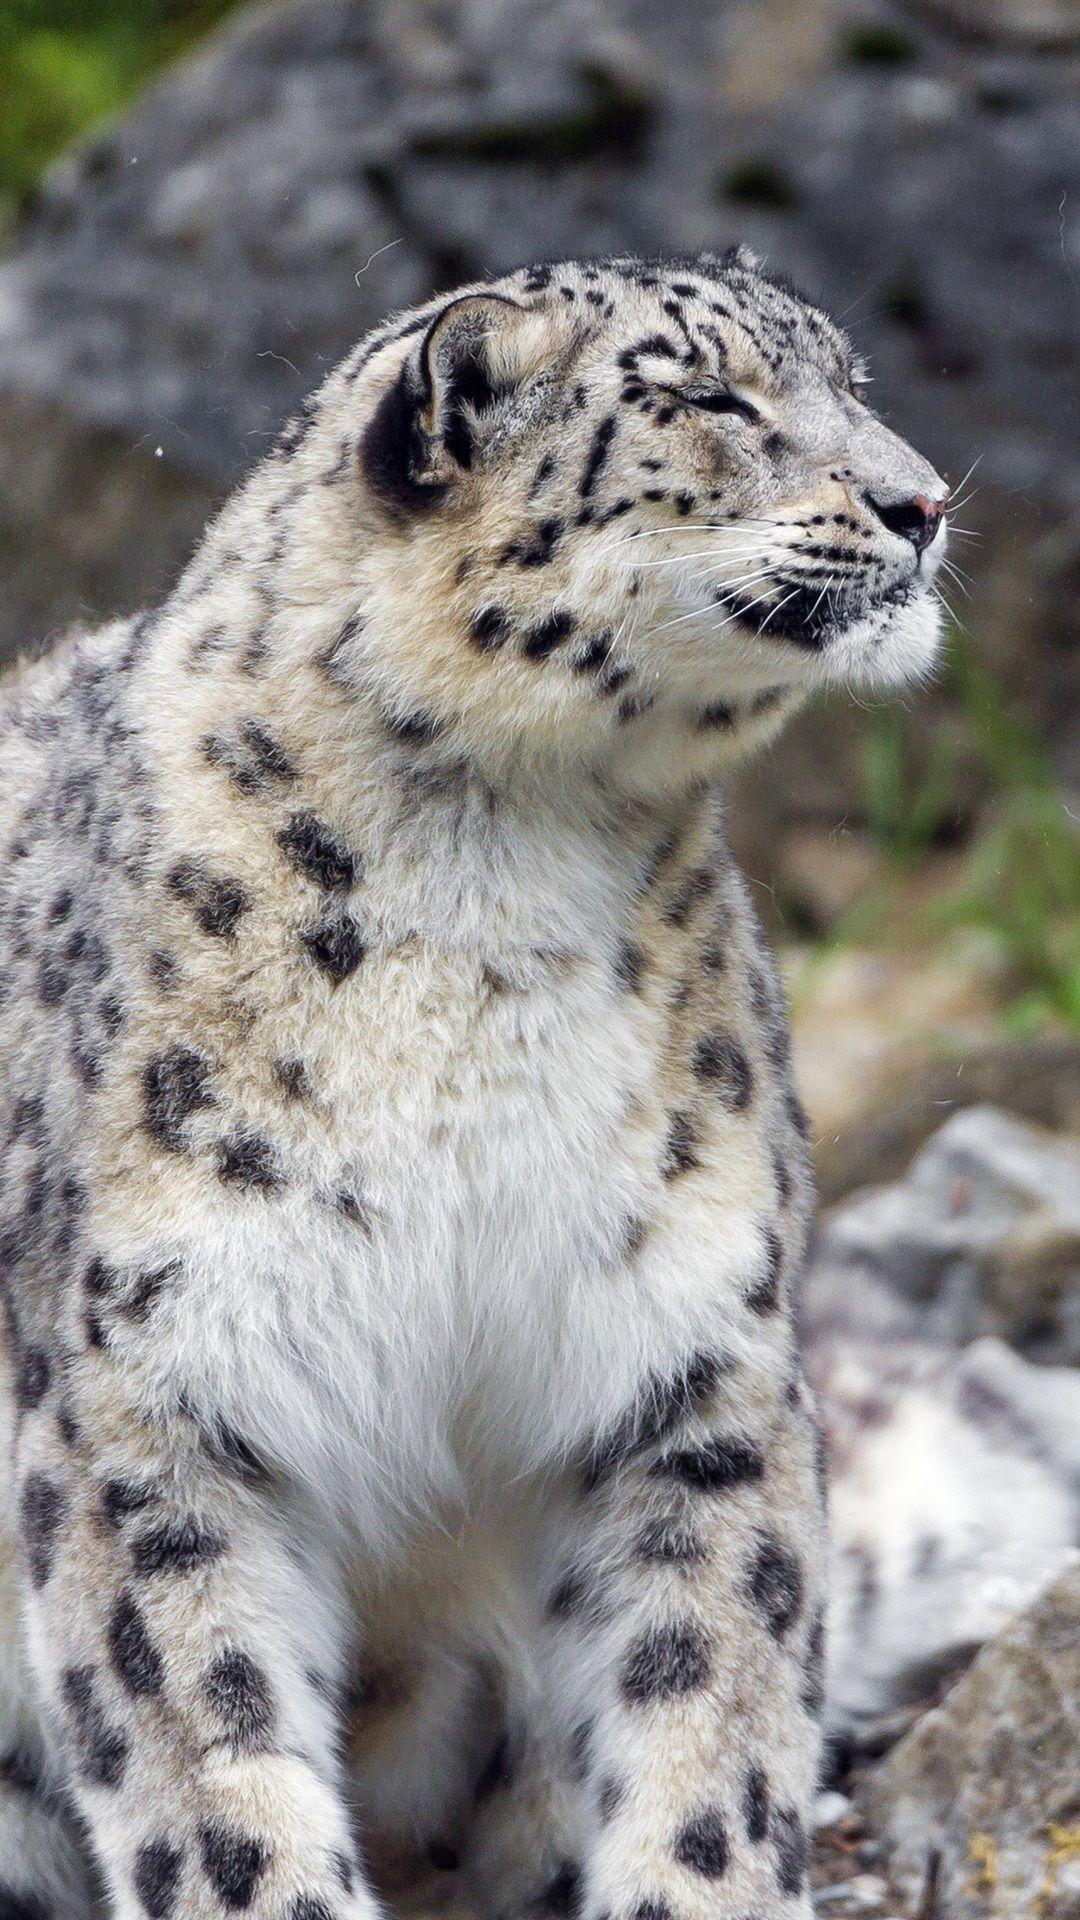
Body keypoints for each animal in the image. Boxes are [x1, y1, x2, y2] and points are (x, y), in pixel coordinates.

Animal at [0, 247, 948, 1920]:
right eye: (713, 398)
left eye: (854, 382)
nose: (929, 503)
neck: (494, 876)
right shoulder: (150, 1403)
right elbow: (210, 1761)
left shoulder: (686, 1358)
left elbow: (709, 1708)